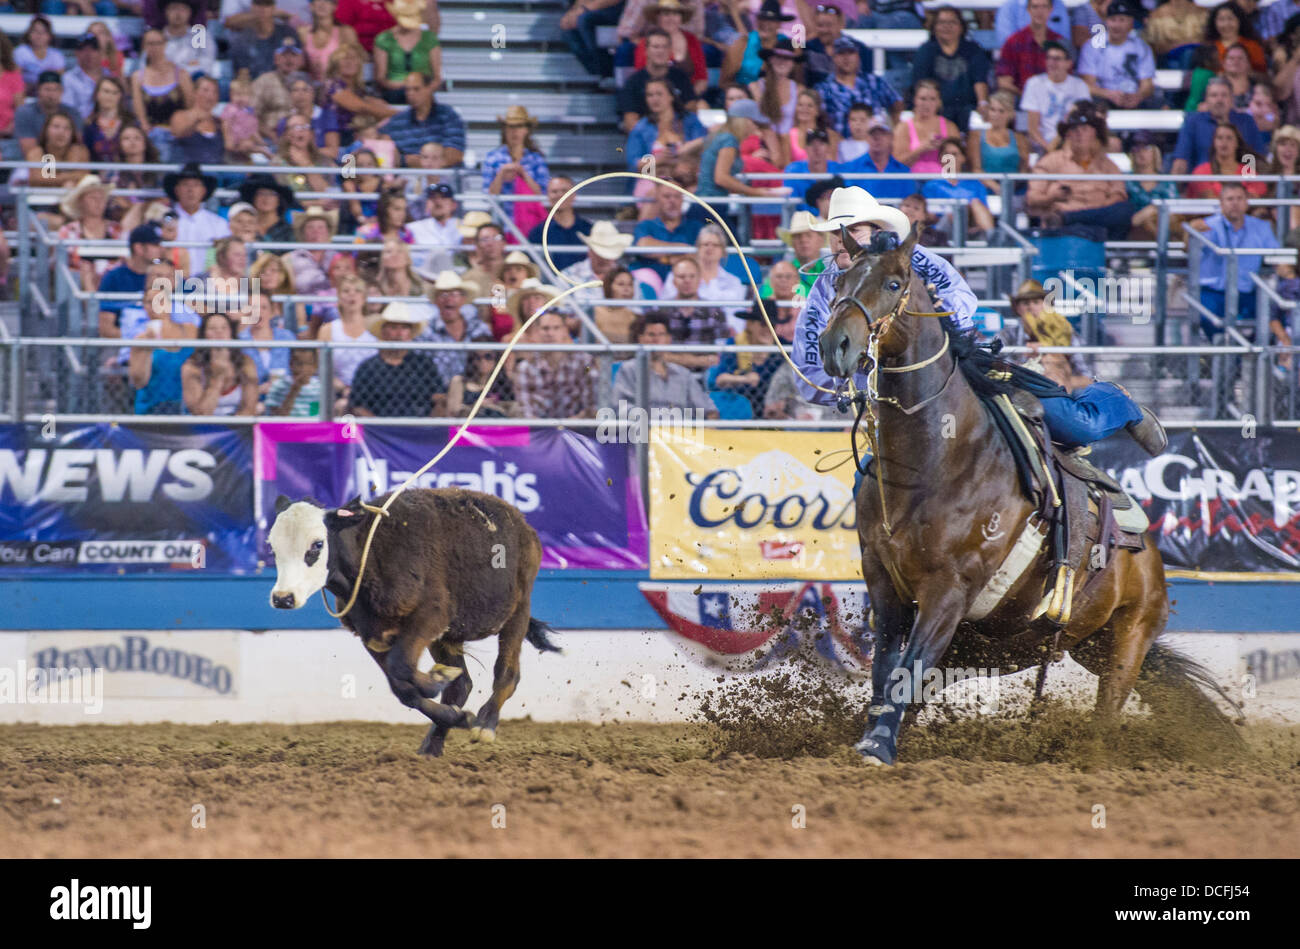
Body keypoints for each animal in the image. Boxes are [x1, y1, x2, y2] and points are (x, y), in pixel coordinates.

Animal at [267, 488, 561, 756]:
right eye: (272, 547)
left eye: (317, 544)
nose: (283, 598)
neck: (370, 556)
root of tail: (520, 522)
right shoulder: (372, 634)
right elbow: (403, 689)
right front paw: (455, 713)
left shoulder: (431, 614)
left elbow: (403, 666)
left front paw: (439, 678)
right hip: (446, 636)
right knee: (462, 685)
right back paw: (433, 743)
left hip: (517, 609)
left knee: (507, 674)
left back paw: (485, 724)